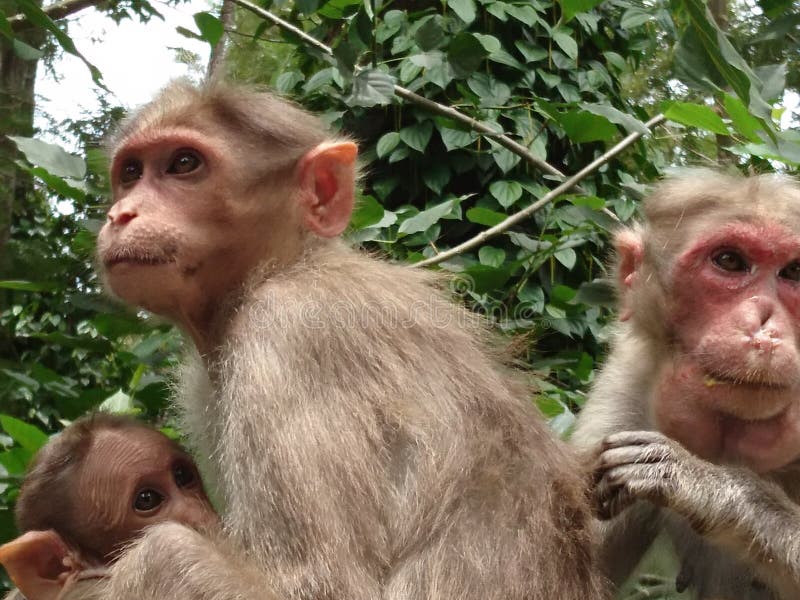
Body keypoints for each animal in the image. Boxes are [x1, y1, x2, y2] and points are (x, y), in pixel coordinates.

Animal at [92, 79, 609, 600]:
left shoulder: (289, 335)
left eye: (183, 164)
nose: (122, 214)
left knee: (165, 552)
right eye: (131, 172)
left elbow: (328, 584)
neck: (284, 267)